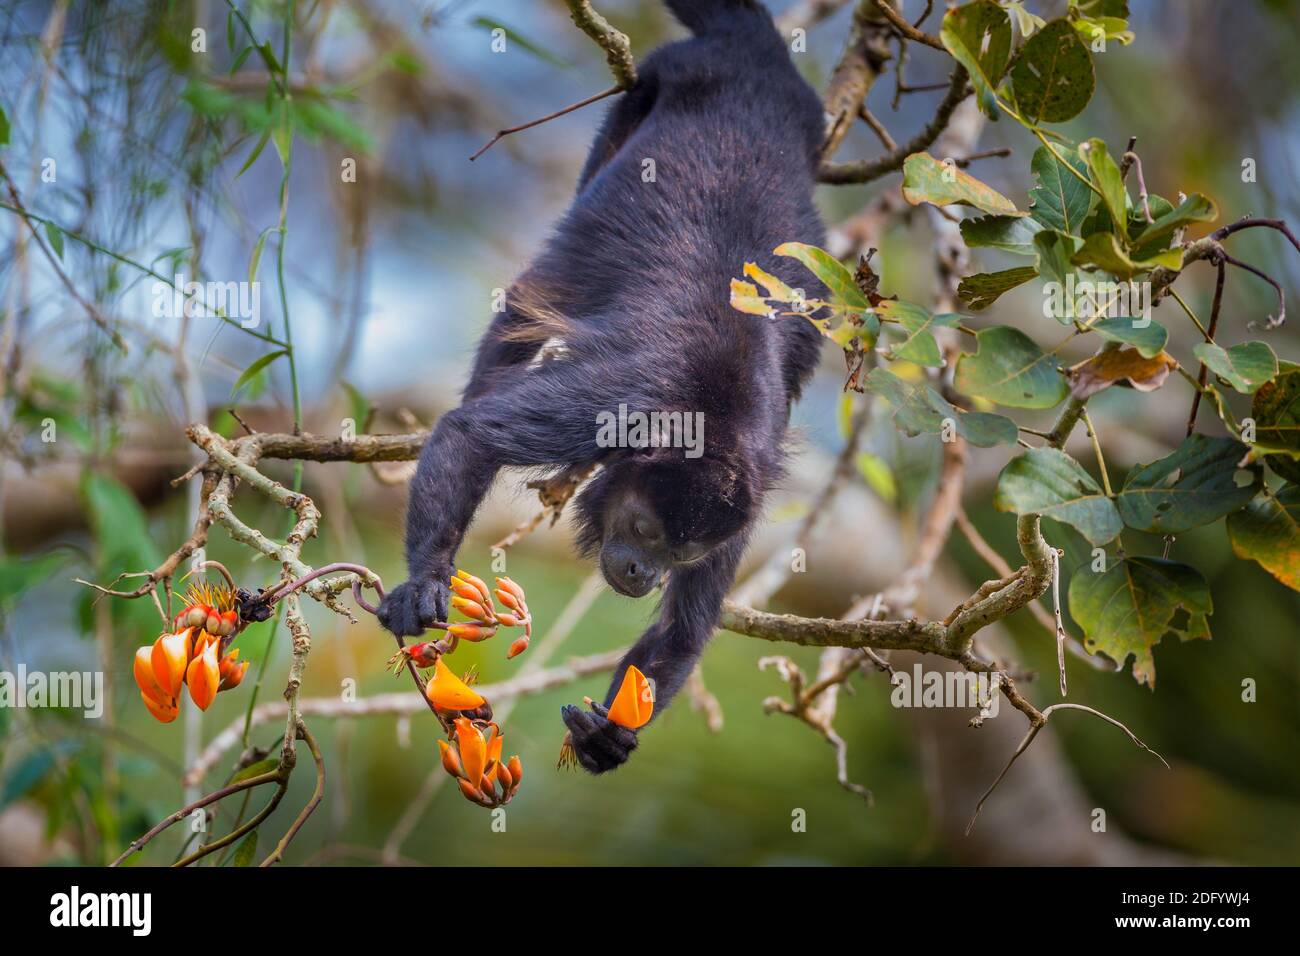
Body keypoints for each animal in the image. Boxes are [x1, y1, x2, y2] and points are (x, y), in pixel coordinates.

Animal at [378, 0, 828, 773]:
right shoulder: (620, 400)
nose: (644, 573)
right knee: (533, 297)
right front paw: (426, 580)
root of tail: (761, 61)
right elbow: (474, 434)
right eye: (645, 532)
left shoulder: (746, 498)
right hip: (661, 83)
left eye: (682, 555)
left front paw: (611, 737)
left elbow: (682, 632)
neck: (703, 422)